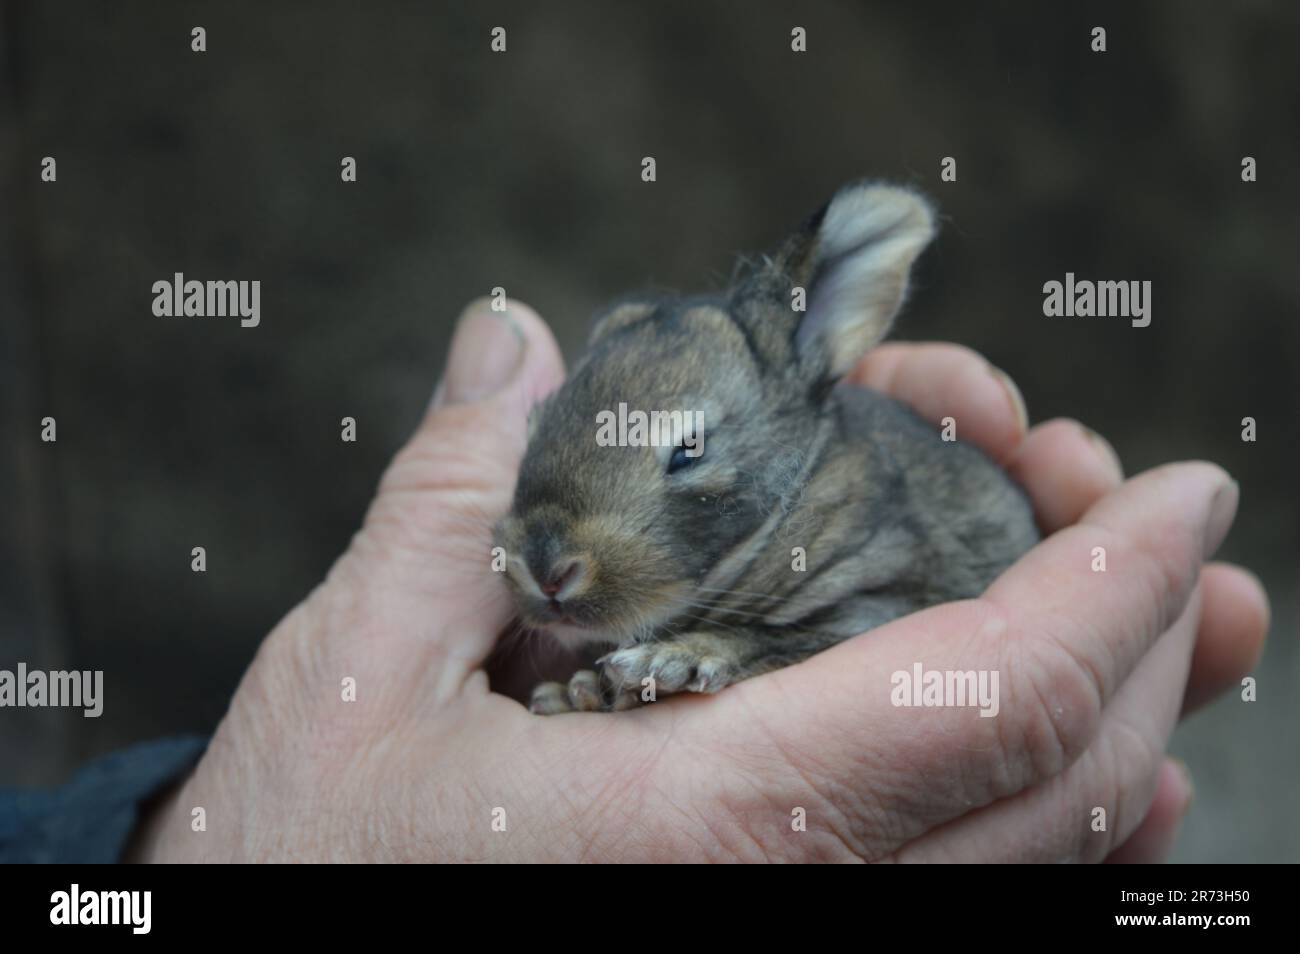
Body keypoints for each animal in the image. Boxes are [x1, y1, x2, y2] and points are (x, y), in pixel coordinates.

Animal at [493, 181, 1040, 714]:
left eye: (689, 450)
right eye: (534, 425)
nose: (544, 571)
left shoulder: (880, 600)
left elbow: (763, 638)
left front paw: (667, 663)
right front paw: (576, 692)